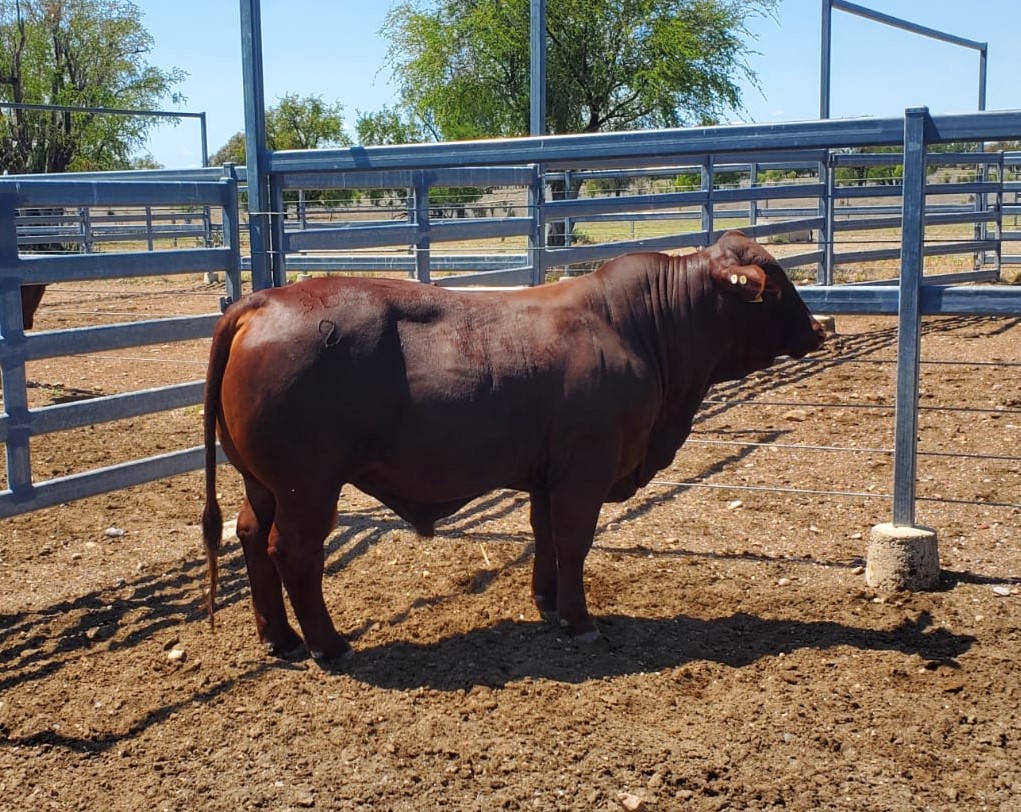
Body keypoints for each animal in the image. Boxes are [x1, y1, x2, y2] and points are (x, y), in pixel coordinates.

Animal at [202, 231, 826, 662]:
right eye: (774, 286)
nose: (820, 328)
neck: (641, 327)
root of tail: (262, 302)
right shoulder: (585, 470)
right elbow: (574, 542)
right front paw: (580, 620)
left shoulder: (548, 476)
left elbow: (545, 537)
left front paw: (548, 603)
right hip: (307, 486)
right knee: (293, 552)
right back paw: (327, 644)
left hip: (261, 481)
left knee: (252, 535)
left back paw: (279, 637)